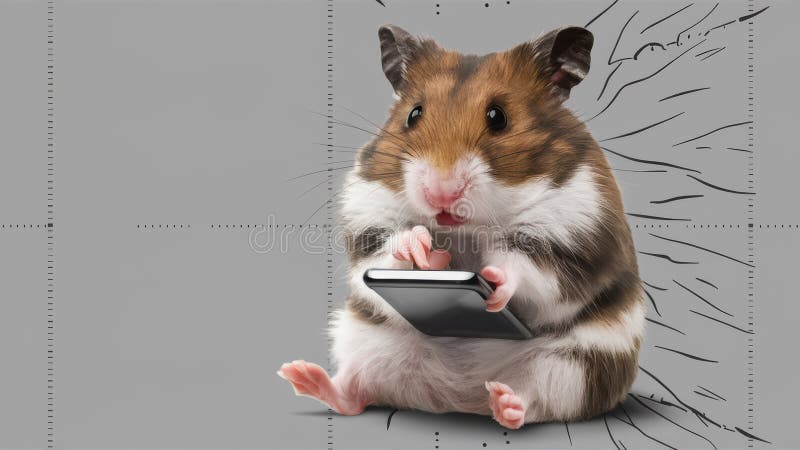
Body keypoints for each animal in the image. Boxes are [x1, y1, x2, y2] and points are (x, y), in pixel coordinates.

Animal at [277, 24, 644, 429]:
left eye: (498, 117)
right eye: (413, 114)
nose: (441, 193)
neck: (469, 228)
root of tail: (456, 398)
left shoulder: (574, 231)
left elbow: (525, 266)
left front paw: (494, 283)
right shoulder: (367, 216)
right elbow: (382, 253)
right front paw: (422, 250)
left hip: (580, 365)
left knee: (535, 397)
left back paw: (504, 402)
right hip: (361, 338)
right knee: (354, 390)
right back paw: (300, 375)